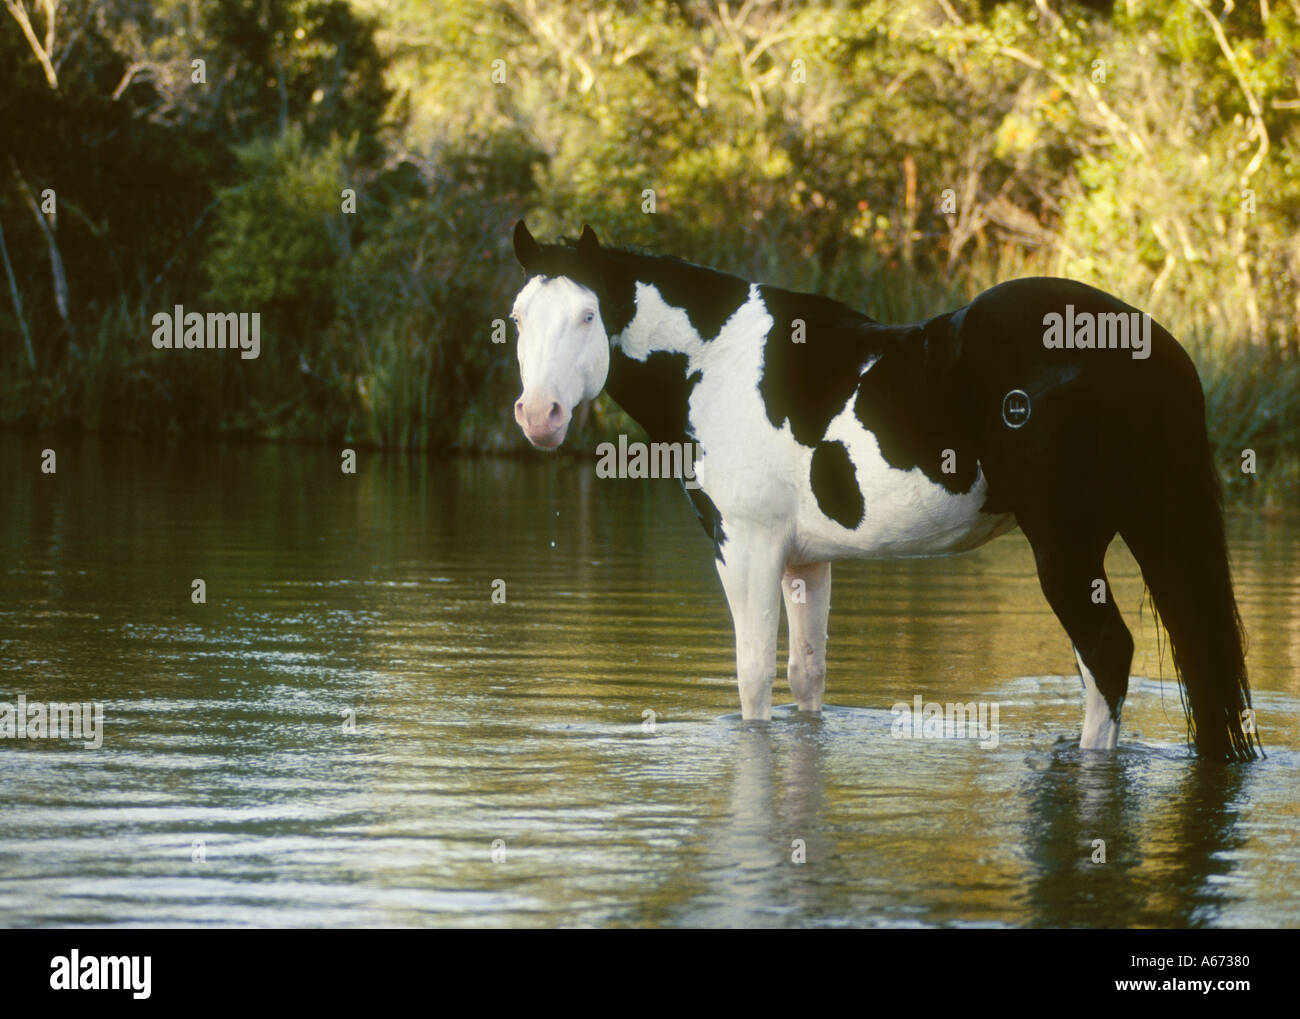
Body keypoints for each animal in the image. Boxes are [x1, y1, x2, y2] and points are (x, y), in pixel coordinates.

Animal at [507, 219, 1260, 762]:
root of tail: (1147, 343)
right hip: (1148, 527)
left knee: (1106, 656)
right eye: (517, 317)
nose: (539, 415)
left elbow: (752, 679)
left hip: (1067, 548)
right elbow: (806, 677)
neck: (714, 364)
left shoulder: (746, 546)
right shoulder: (806, 560)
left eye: (587, 315)